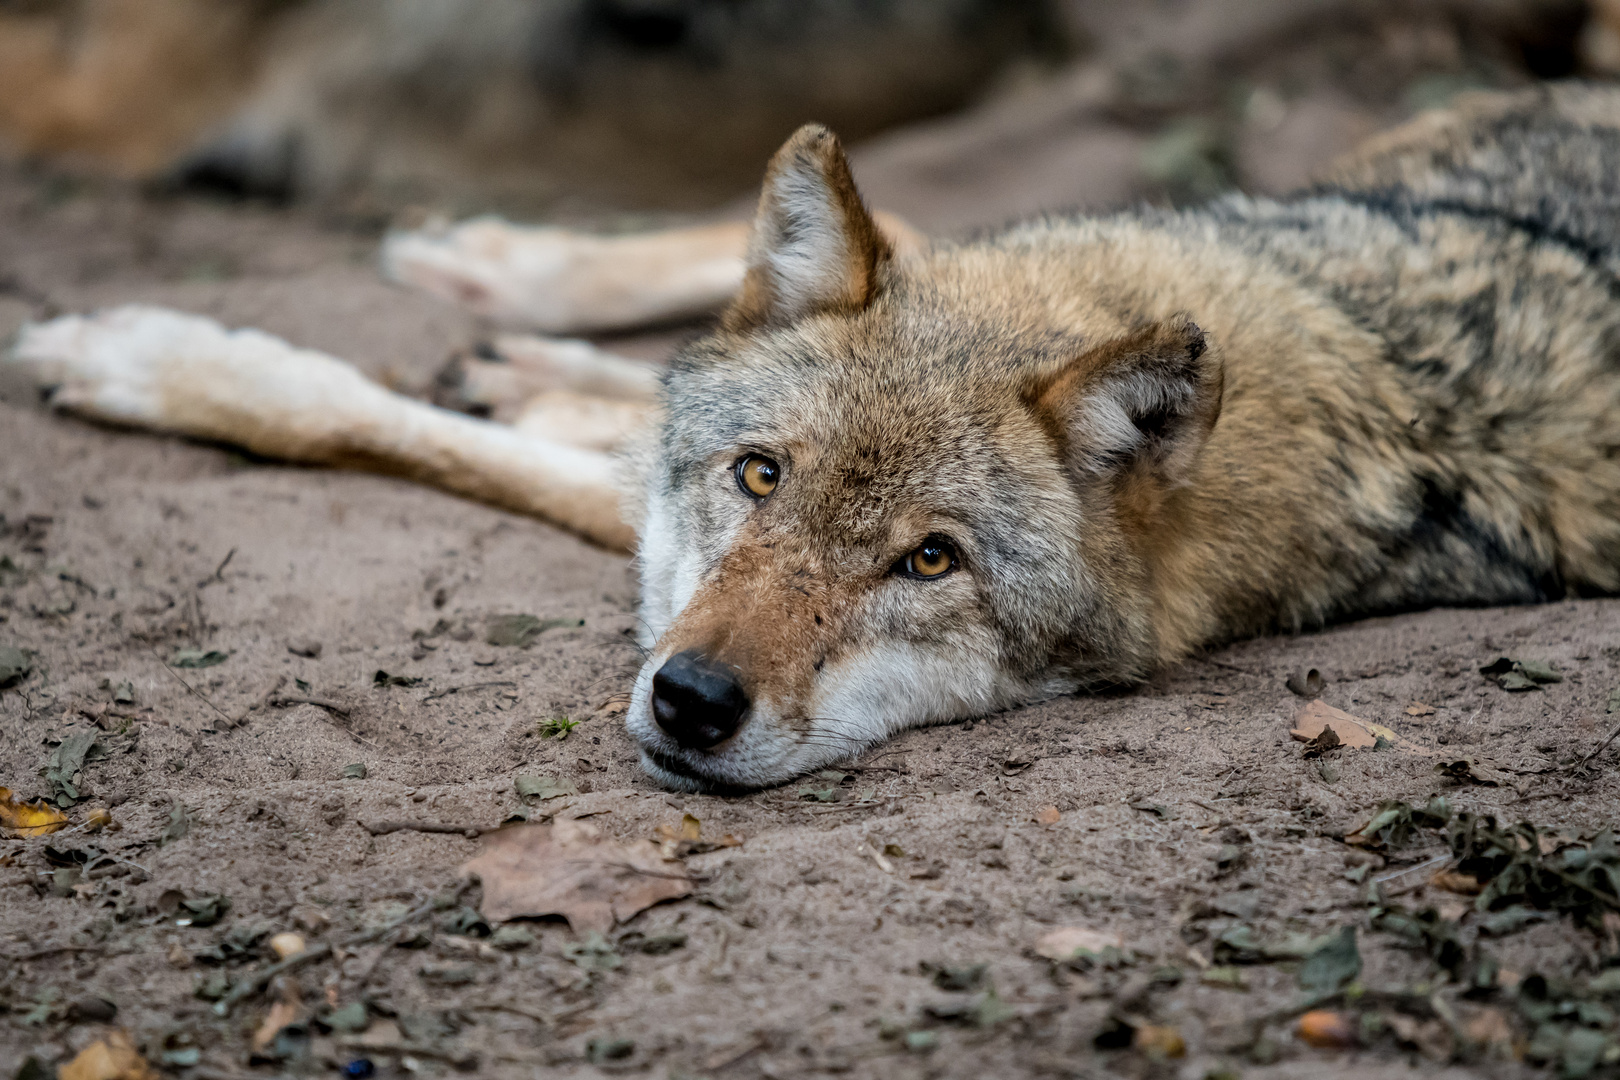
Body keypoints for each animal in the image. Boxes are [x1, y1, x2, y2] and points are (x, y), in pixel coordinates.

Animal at [9, 84, 1620, 790]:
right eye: (759, 475)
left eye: (930, 563)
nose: (692, 704)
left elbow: (444, 439)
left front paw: (154, 359)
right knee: (863, 218)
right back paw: (502, 285)